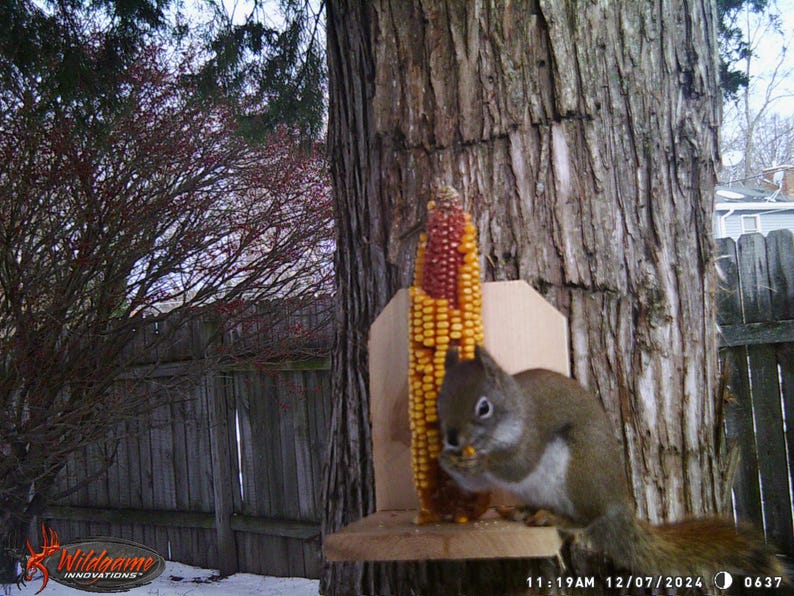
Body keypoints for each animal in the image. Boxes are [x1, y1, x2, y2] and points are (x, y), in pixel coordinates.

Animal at [436, 345, 788, 581]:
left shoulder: (532, 433)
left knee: (586, 519)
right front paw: (447, 461)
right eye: (440, 400)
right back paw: (520, 510)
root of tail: (617, 506)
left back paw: (557, 517)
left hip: (580, 472)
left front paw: (480, 463)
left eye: (483, 407)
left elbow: (518, 464)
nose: (451, 438)